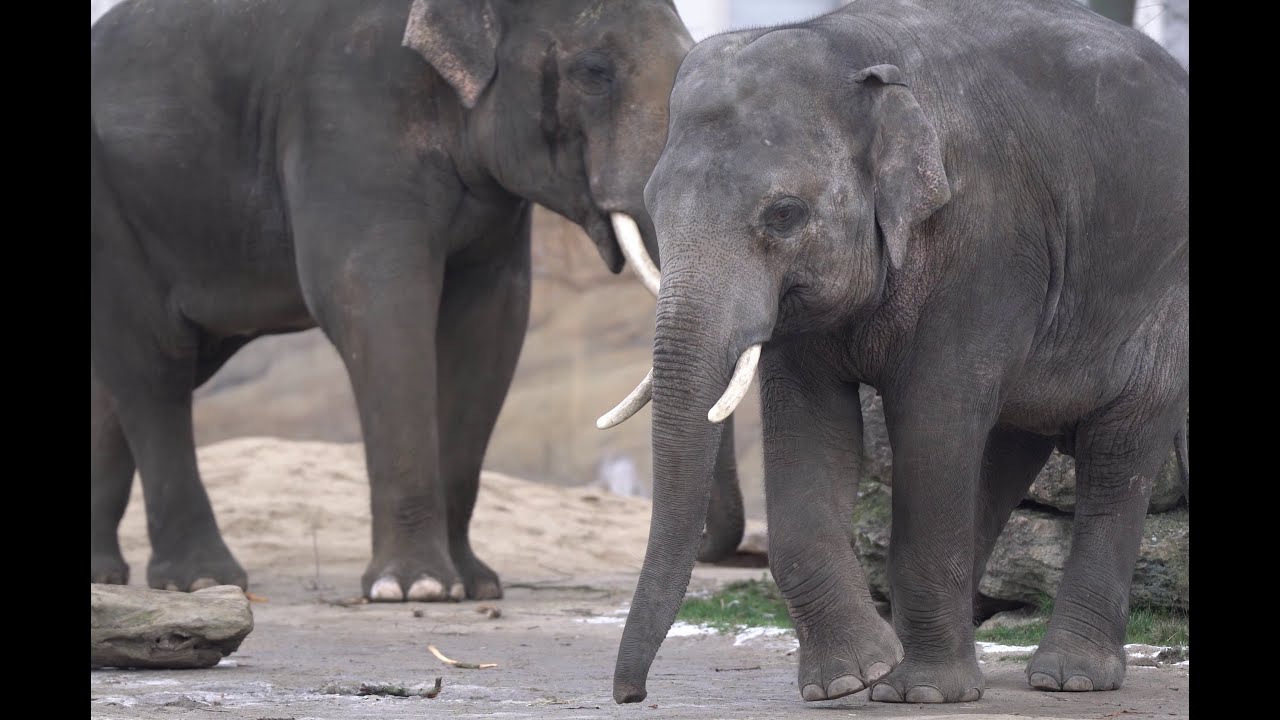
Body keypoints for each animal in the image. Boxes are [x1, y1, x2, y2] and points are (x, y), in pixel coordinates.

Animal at [91, 0, 748, 603]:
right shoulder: (349, 119)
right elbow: (376, 304)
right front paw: (416, 589)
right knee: (156, 364)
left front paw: (476, 586)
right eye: (594, 72)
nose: (712, 550)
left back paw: (107, 575)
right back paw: (202, 580)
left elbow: (490, 324)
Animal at [600, 0, 1188, 706]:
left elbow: (934, 418)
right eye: (653, 207)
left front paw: (921, 693)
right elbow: (809, 427)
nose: (630, 696)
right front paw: (849, 680)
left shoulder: (986, 243)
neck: (849, 48)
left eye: (784, 214)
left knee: (1119, 449)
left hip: (1164, 299)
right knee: (1007, 445)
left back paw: (1067, 678)